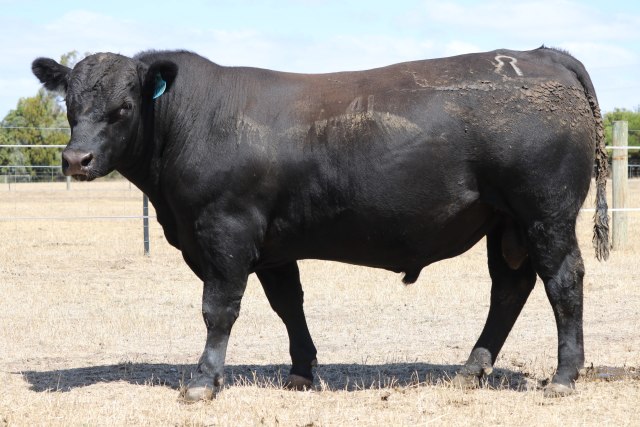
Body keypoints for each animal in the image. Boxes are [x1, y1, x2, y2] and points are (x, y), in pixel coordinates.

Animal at [32, 46, 609, 401]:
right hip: (505, 222)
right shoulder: (273, 245)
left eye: (124, 107)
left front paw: (203, 380)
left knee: (563, 281)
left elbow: (218, 309)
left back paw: (563, 375)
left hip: (546, 211)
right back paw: (470, 371)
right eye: (72, 105)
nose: (76, 159)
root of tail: (541, 55)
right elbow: (289, 305)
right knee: (509, 287)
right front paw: (302, 372)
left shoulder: (226, 231)